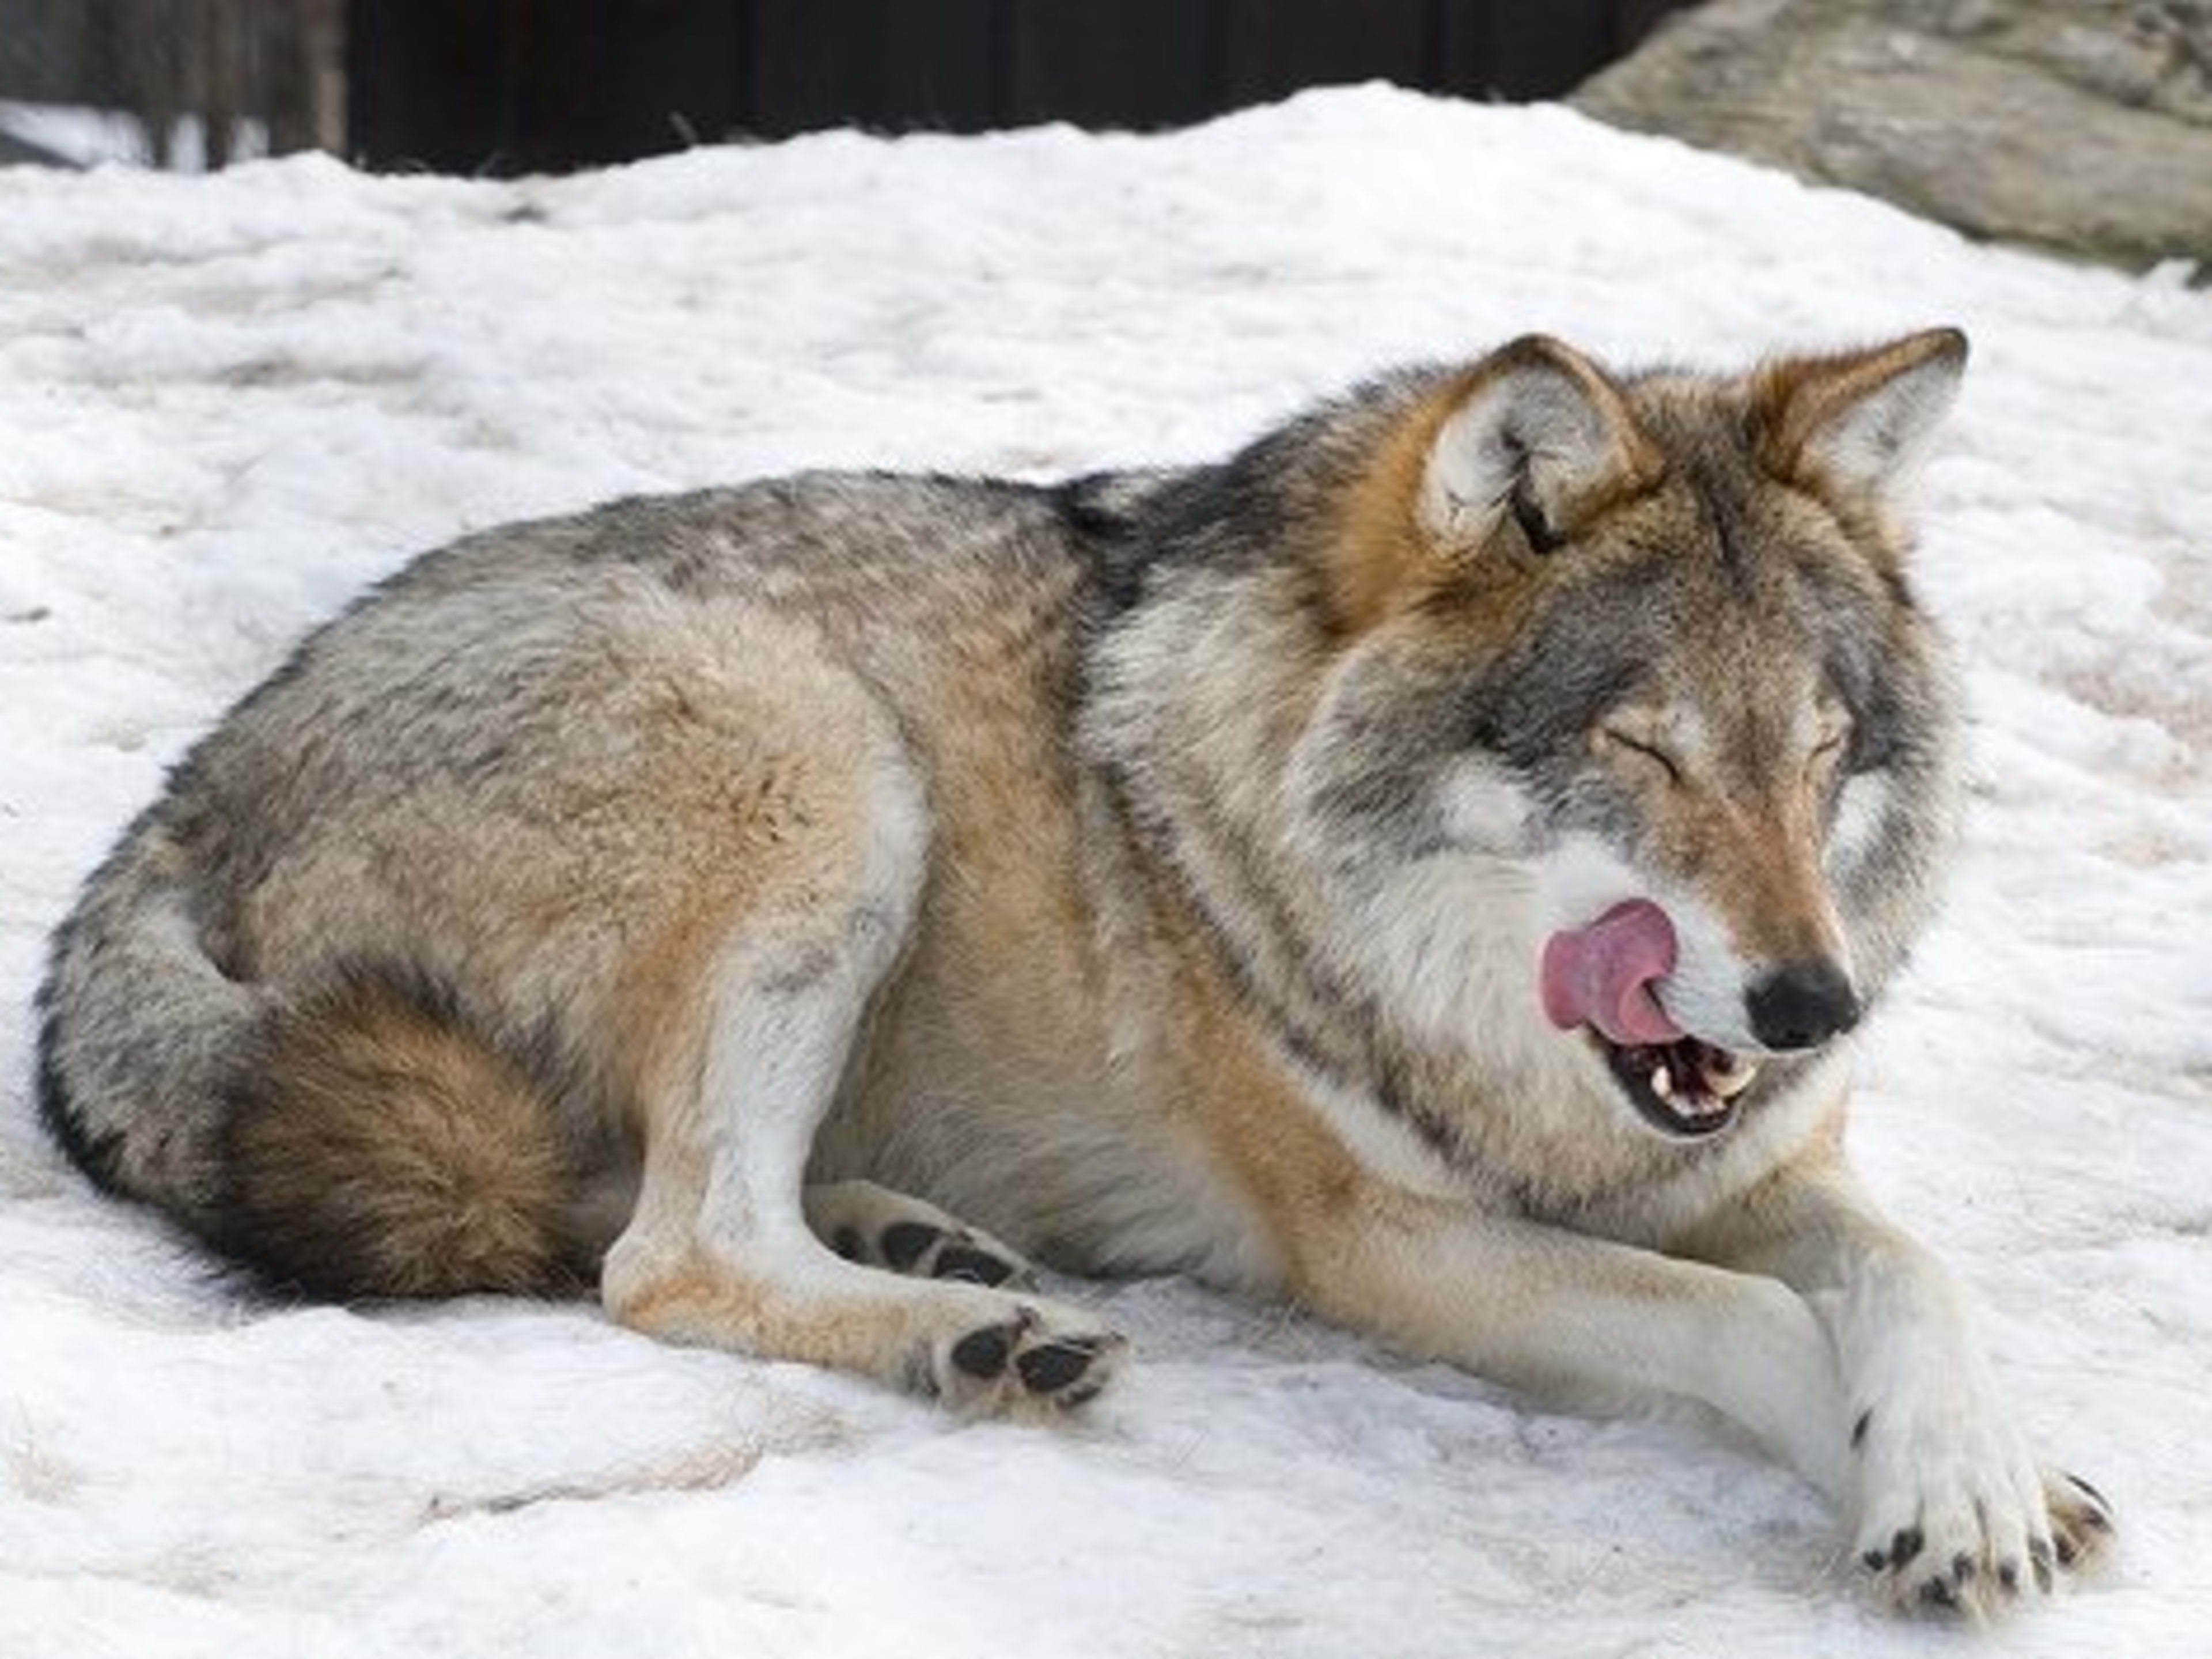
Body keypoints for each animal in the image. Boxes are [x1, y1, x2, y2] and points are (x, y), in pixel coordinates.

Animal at [36, 328, 2111, 1615]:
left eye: (1823, 754)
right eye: (1646, 750)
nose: (1815, 1006)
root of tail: (193, 782)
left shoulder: (1756, 1158)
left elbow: (1912, 1277)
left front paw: (1977, 1473)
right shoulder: (1393, 1247)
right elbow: (1753, 1320)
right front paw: (1901, 1479)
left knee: (645, 1199)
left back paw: (931, 1252)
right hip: (826, 762)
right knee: (665, 1255)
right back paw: (971, 1336)